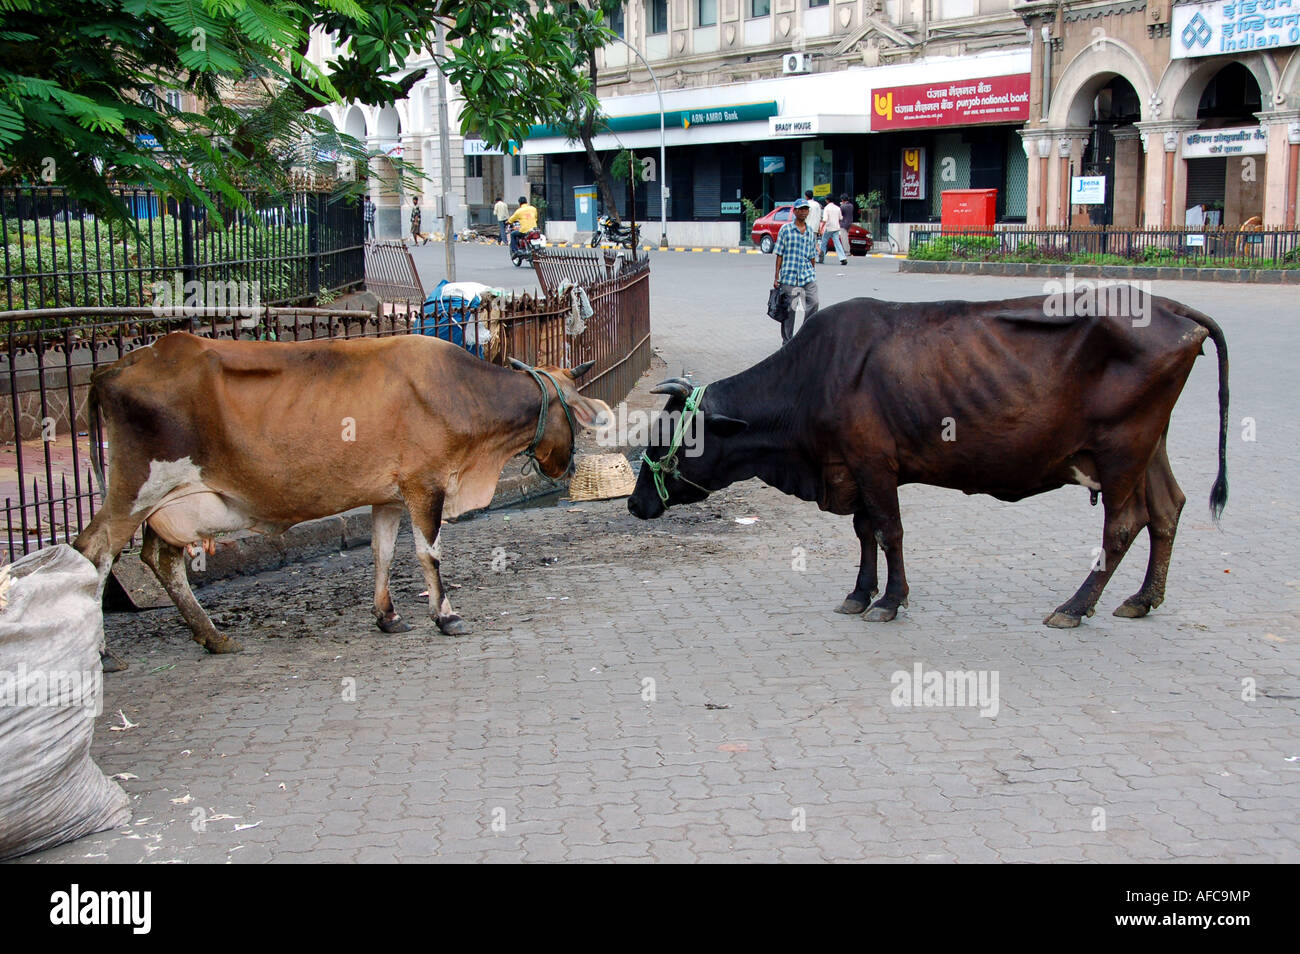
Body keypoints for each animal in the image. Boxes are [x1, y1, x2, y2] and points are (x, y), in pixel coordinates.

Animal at [74, 332, 611, 668]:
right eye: (573, 414)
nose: (567, 467)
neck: (464, 394)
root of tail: (116, 367)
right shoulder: (425, 484)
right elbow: (429, 554)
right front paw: (446, 615)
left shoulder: (389, 496)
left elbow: (383, 552)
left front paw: (387, 616)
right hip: (136, 488)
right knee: (94, 552)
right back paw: (102, 653)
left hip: (169, 503)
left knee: (160, 559)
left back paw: (213, 636)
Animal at [629, 294, 1228, 629]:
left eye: (663, 439)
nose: (634, 504)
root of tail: (1174, 310)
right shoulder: (852, 469)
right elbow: (865, 531)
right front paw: (860, 593)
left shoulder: (874, 465)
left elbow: (889, 531)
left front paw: (890, 600)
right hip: (1150, 447)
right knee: (1168, 511)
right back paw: (1143, 599)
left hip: (1122, 448)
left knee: (1124, 525)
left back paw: (1075, 607)